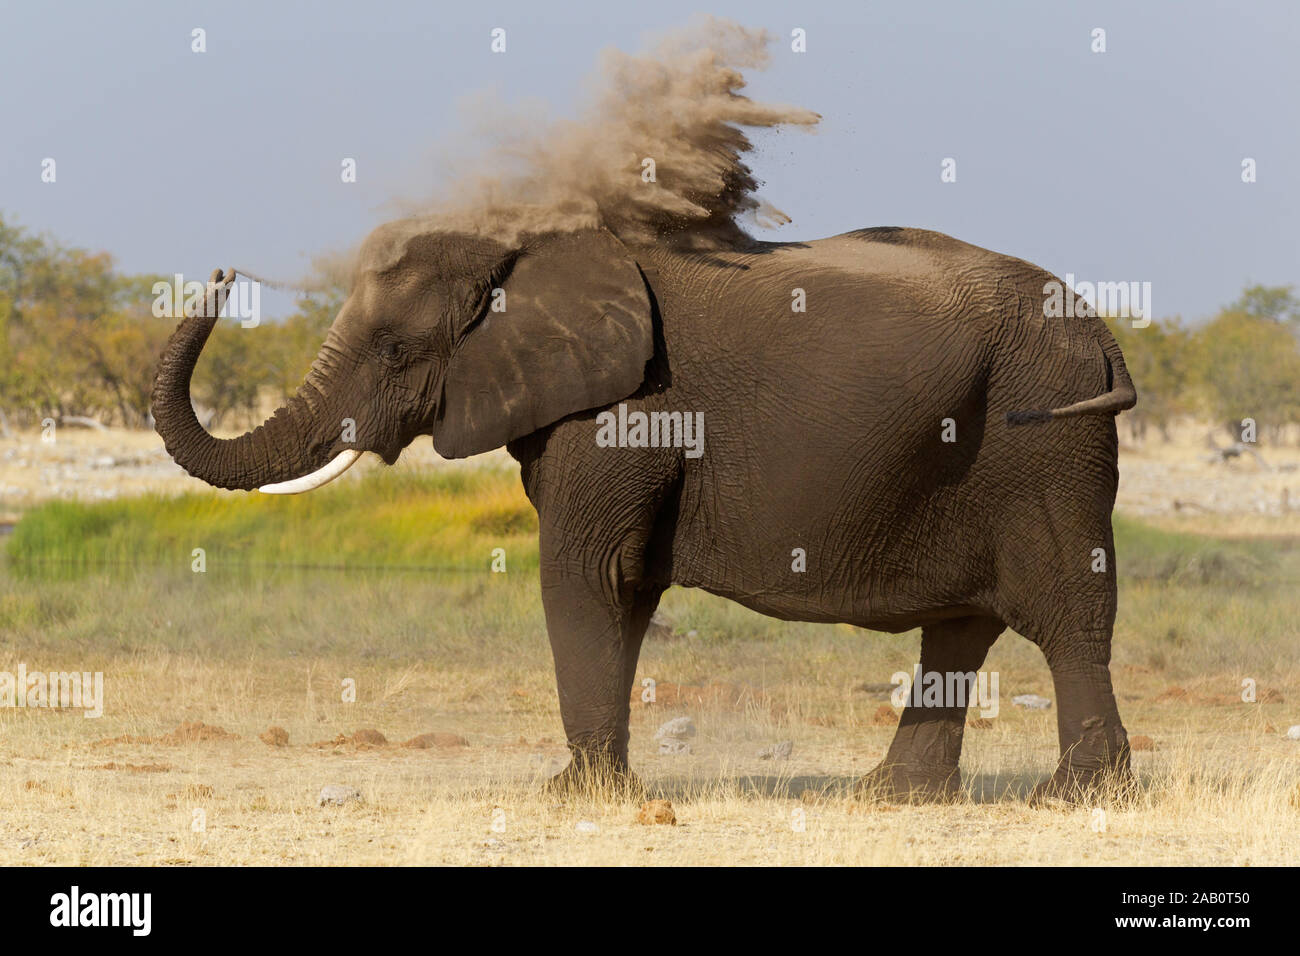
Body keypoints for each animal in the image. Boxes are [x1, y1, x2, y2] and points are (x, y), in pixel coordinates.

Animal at [152, 222, 1137, 804]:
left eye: (396, 351)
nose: (222, 269)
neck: (517, 249)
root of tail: (1102, 332)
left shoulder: (624, 410)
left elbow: (586, 574)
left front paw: (572, 796)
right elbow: (622, 589)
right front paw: (594, 785)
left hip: (1045, 441)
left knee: (1064, 612)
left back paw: (1078, 798)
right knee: (963, 627)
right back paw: (890, 795)